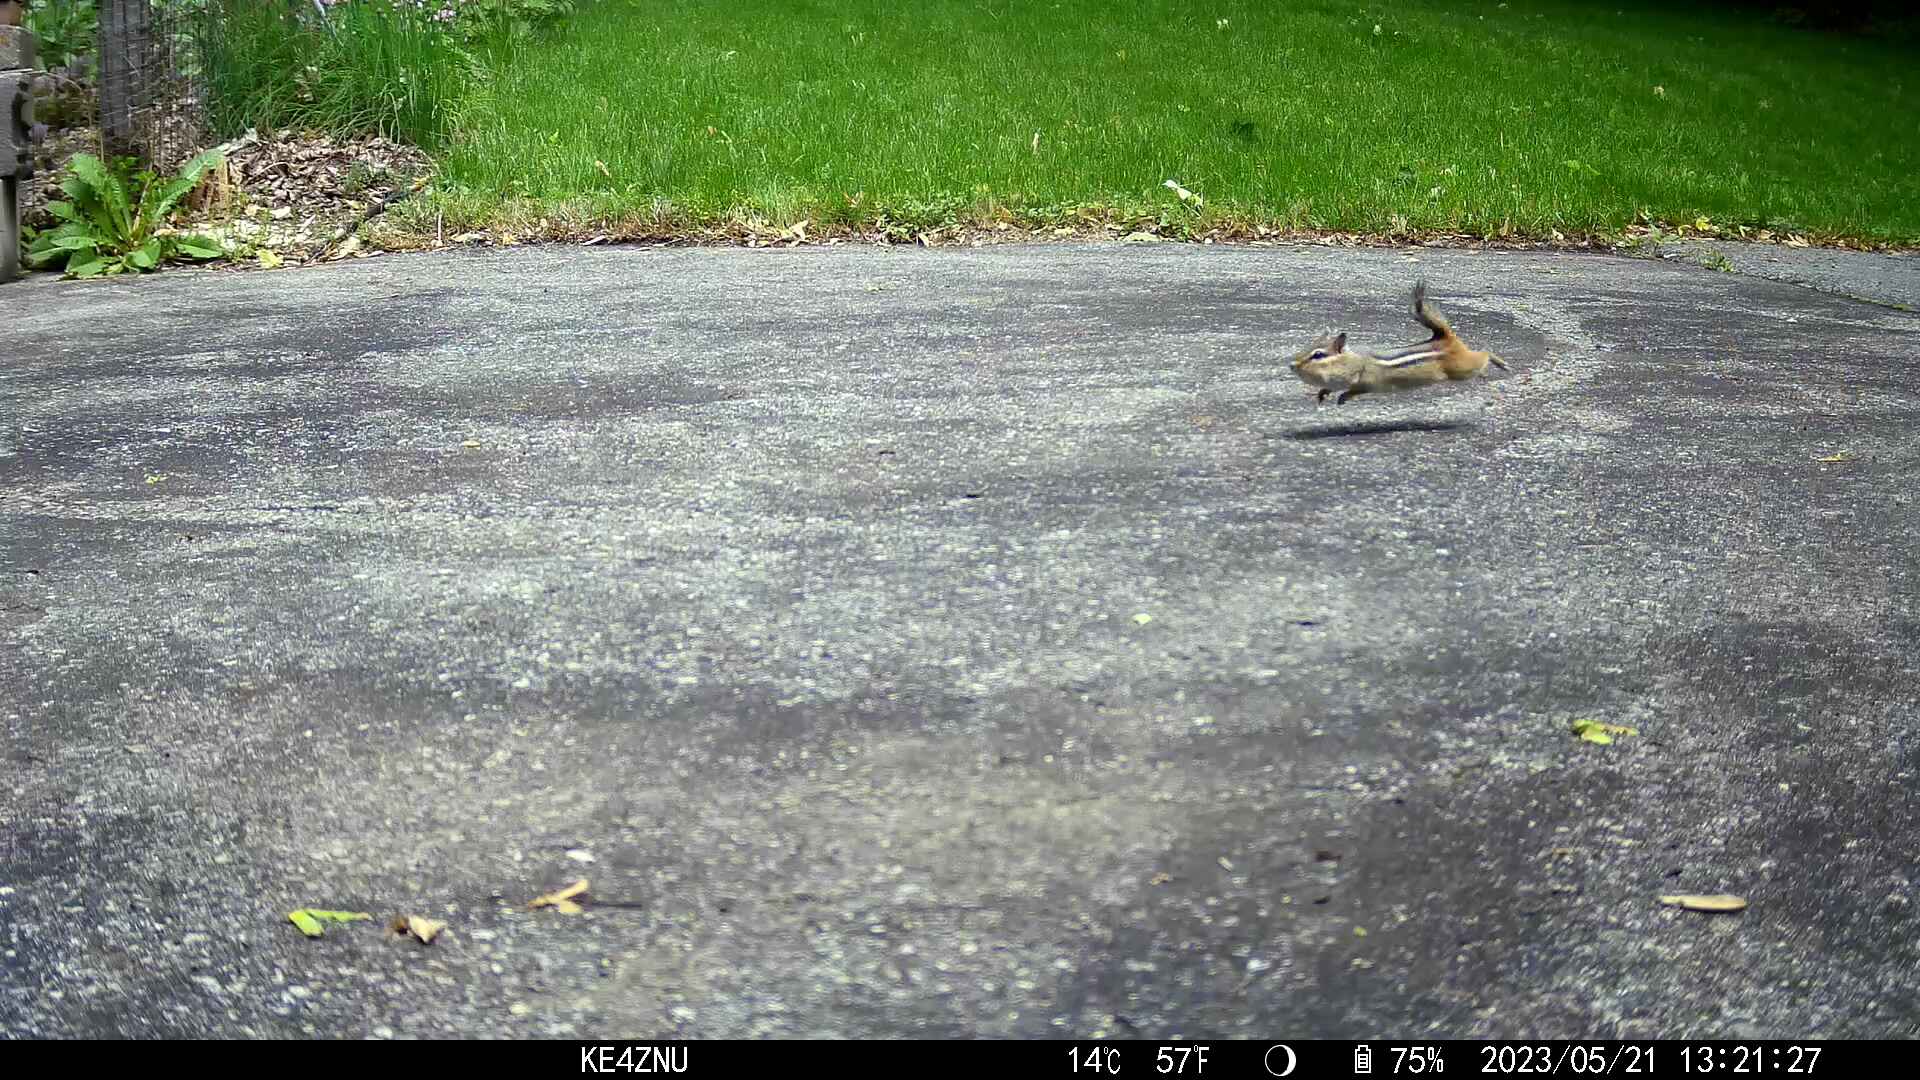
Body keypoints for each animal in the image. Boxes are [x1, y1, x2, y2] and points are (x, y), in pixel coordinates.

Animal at [1289, 281, 1510, 405]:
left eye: (1318, 355)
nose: (1292, 365)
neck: (1356, 361)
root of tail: (1445, 338)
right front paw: (1322, 394)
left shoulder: (1370, 381)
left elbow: (1355, 390)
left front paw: (1343, 398)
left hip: (1461, 369)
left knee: (1484, 353)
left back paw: (1500, 364)